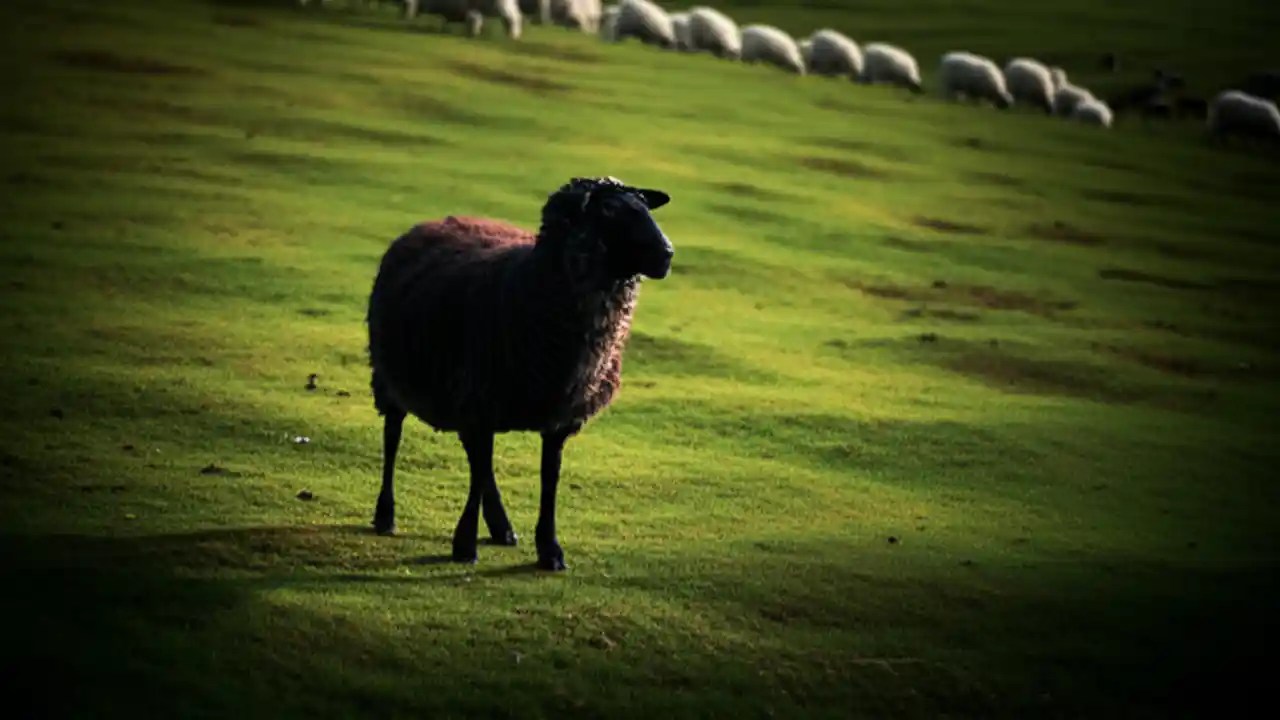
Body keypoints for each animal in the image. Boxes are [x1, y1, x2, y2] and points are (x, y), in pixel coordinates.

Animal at [367, 176, 675, 571]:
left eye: (645, 208)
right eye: (608, 210)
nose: (667, 253)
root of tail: (431, 222)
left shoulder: (556, 417)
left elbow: (548, 477)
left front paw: (549, 549)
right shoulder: (480, 401)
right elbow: (480, 471)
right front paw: (464, 545)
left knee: (478, 462)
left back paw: (501, 527)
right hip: (391, 377)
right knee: (394, 437)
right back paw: (385, 515)